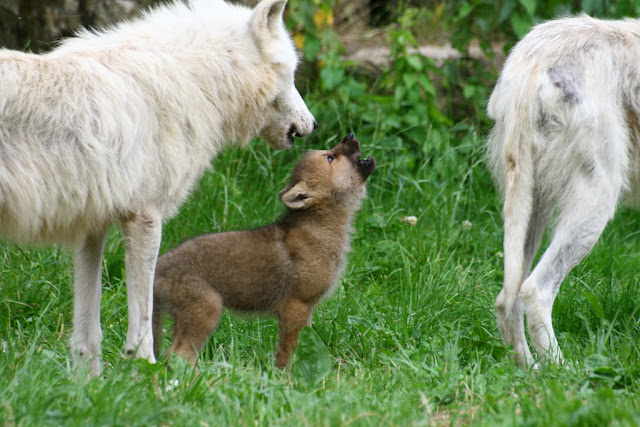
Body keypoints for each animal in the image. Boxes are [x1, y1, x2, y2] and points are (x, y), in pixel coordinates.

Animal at [0, 0, 316, 375]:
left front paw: (90, 383)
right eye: (293, 73)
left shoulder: (92, 229)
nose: (312, 125)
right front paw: (146, 375)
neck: (192, 81)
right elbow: (142, 326)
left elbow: (88, 332)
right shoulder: (145, 218)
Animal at [152, 134, 375, 367]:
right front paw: (287, 374)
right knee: (178, 354)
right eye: (331, 157)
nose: (350, 136)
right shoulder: (296, 306)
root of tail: (159, 268)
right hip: (206, 310)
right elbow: (289, 349)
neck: (320, 226)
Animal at [487, 15, 640, 367]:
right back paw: (563, 370)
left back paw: (529, 369)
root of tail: (533, 64)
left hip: (531, 206)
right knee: (535, 291)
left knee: (507, 300)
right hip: (596, 203)